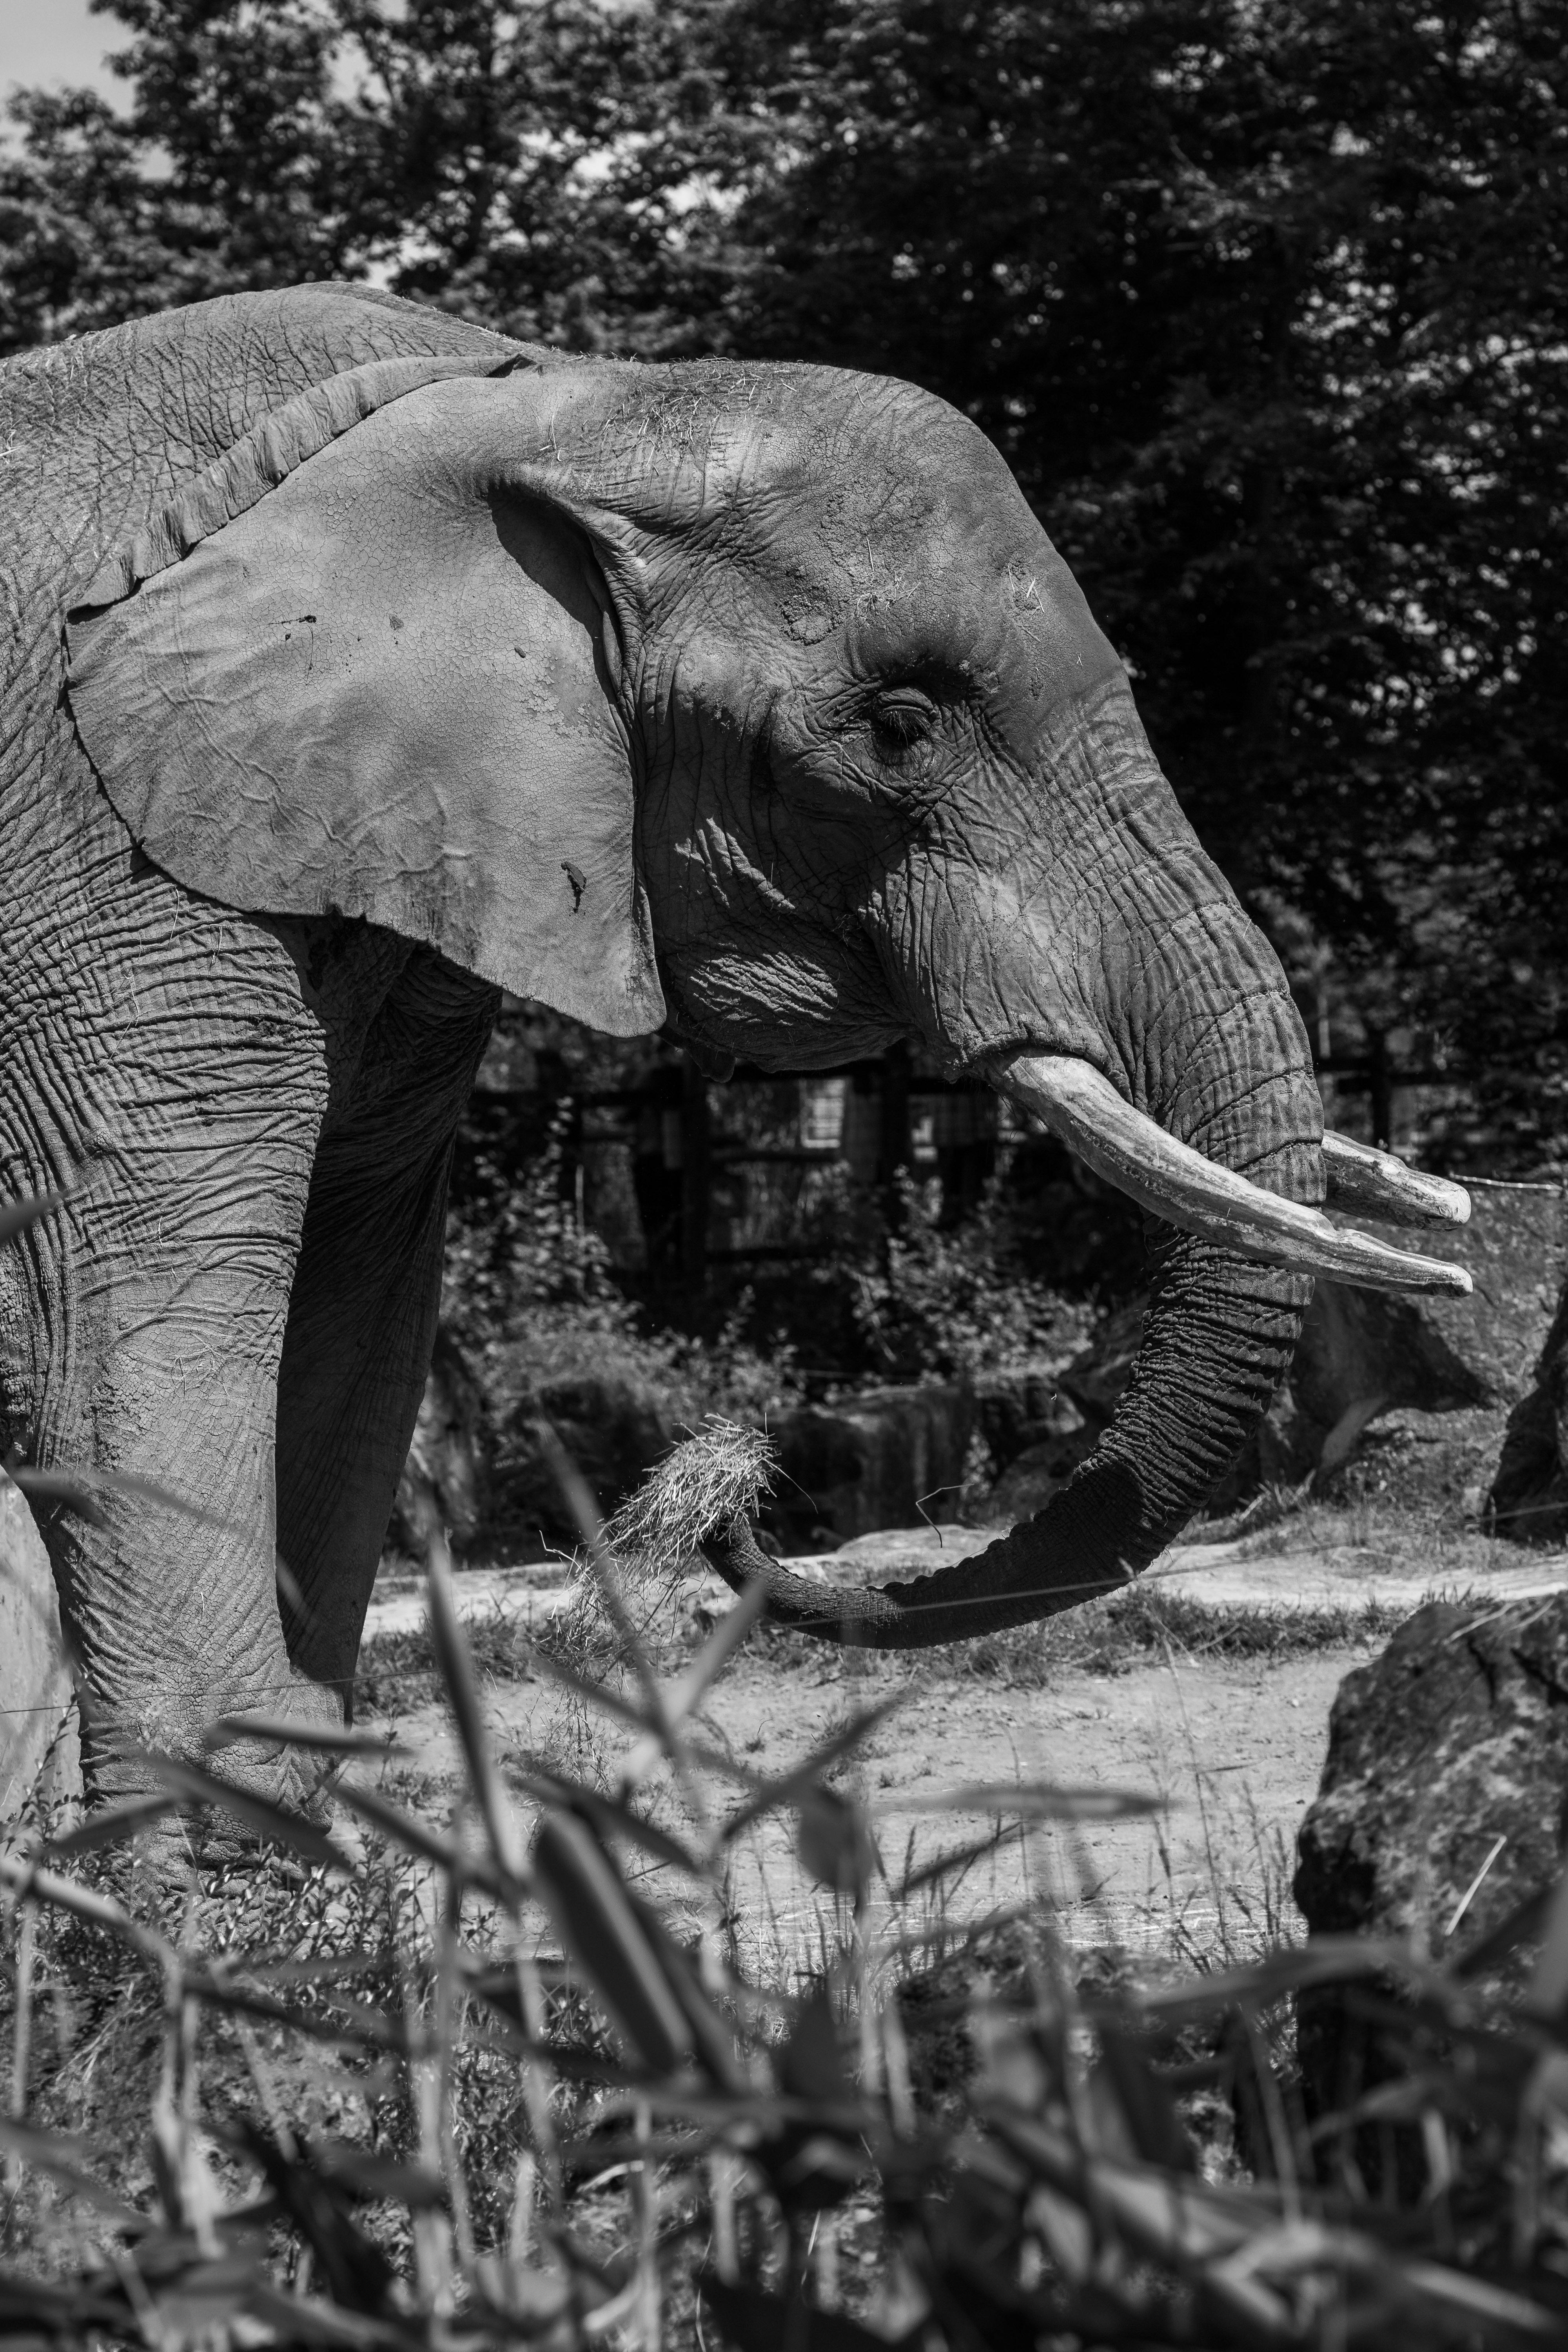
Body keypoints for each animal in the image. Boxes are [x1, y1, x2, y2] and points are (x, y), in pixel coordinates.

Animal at [0, 281, 1470, 1815]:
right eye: (902, 725)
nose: (734, 1492)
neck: (550, 398)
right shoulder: (108, 867)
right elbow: (139, 1328)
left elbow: (350, 1320)